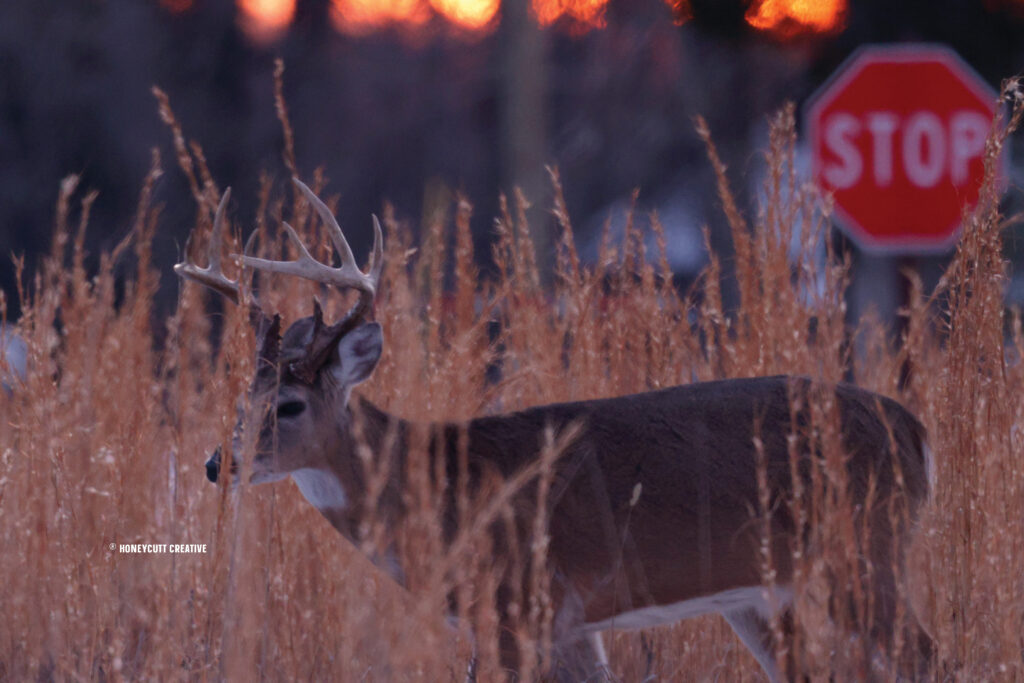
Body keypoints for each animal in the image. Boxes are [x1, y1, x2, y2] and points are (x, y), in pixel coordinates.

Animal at [176, 178, 934, 682]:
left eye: (289, 405)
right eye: (243, 394)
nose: (217, 463)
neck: (442, 488)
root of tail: (915, 431)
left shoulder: (519, 602)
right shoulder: (567, 622)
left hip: (863, 549)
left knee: (924, 652)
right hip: (769, 589)